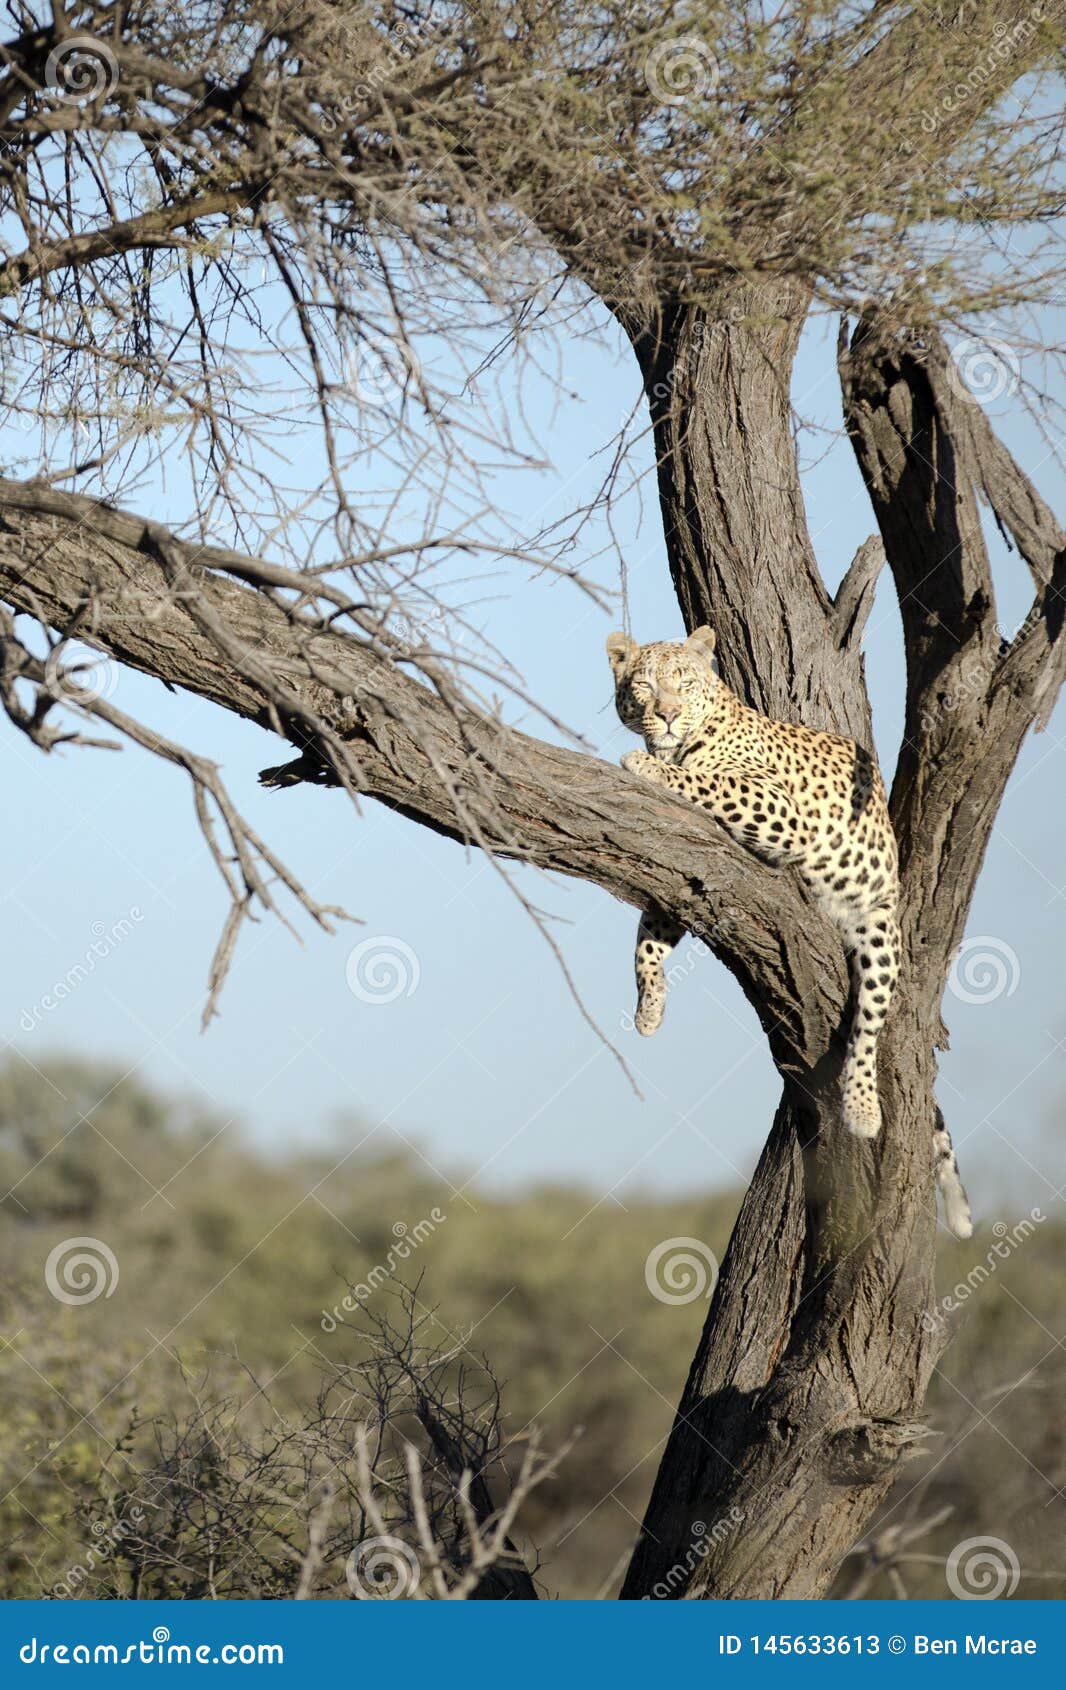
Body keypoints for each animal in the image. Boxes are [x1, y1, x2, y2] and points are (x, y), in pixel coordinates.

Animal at [608, 624, 972, 1240]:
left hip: (879, 929)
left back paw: (862, 1107)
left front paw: (647, 765)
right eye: (645, 685)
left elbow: (706, 780)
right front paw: (649, 1008)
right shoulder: (685, 868)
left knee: (867, 1028)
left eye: (683, 682)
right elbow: (649, 937)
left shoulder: (778, 807)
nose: (668, 715)